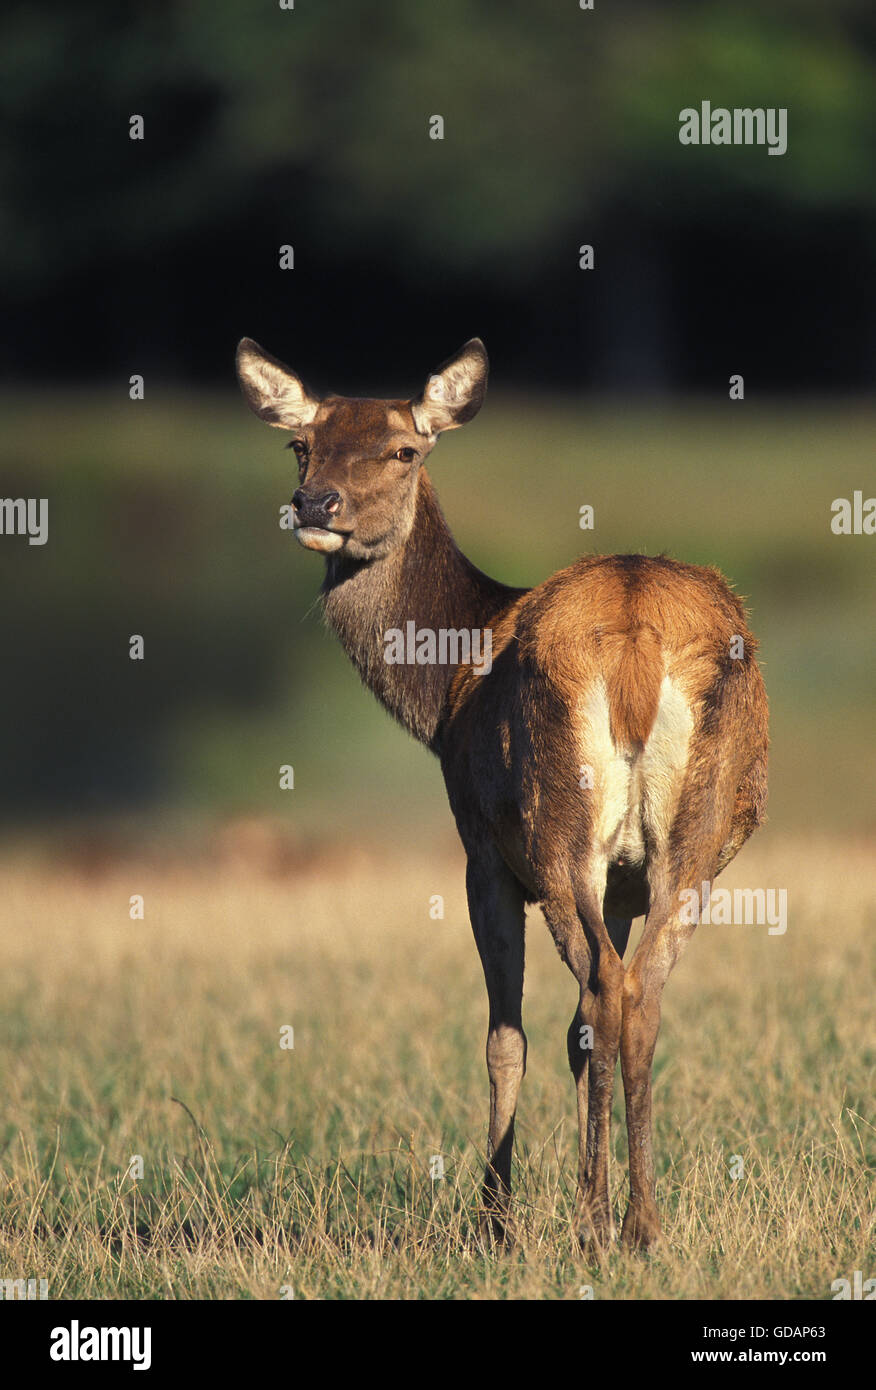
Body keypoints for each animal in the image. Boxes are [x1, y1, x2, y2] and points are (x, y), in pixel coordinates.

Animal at [235, 335, 769, 1252]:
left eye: (403, 451)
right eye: (300, 444)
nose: (314, 502)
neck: (445, 681)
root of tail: (636, 641)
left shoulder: (481, 852)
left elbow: (505, 1036)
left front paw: (494, 1220)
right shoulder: (622, 883)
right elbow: (582, 1035)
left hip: (555, 829)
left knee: (600, 987)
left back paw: (592, 1221)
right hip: (688, 846)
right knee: (636, 994)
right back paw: (639, 1222)